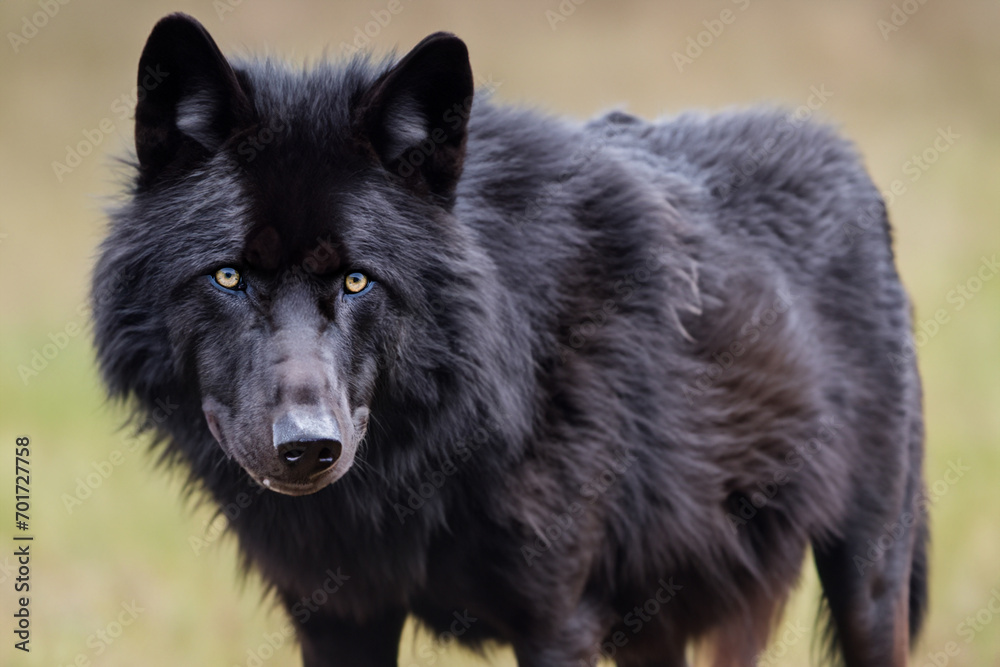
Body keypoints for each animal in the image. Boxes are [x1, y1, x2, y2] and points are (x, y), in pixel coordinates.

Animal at [94, 14, 928, 667]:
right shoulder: (338, 618)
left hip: (867, 577)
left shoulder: (558, 619)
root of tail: (857, 169)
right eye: (229, 275)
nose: (308, 446)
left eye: (358, 280)